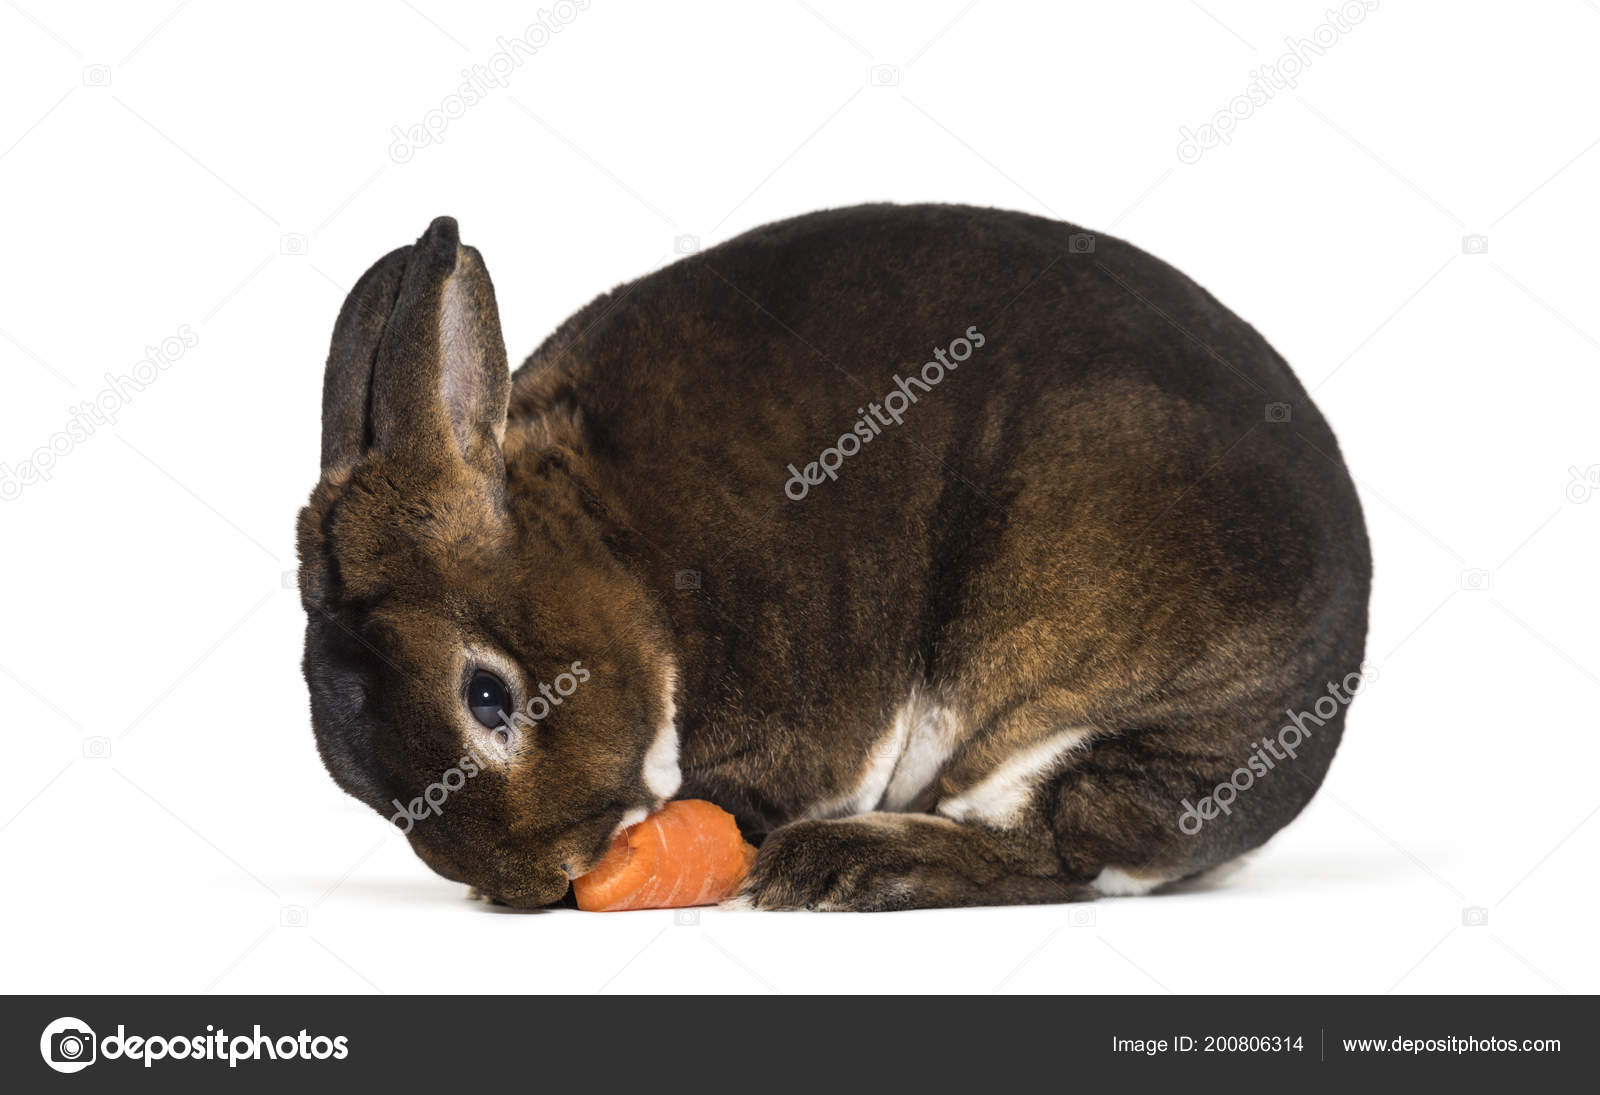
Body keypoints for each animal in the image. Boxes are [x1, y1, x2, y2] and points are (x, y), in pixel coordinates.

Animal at [297, 204, 1370, 910]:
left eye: (488, 697)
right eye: (354, 784)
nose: (528, 881)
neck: (620, 548)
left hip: (1070, 683)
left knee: (1053, 852)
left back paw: (840, 867)